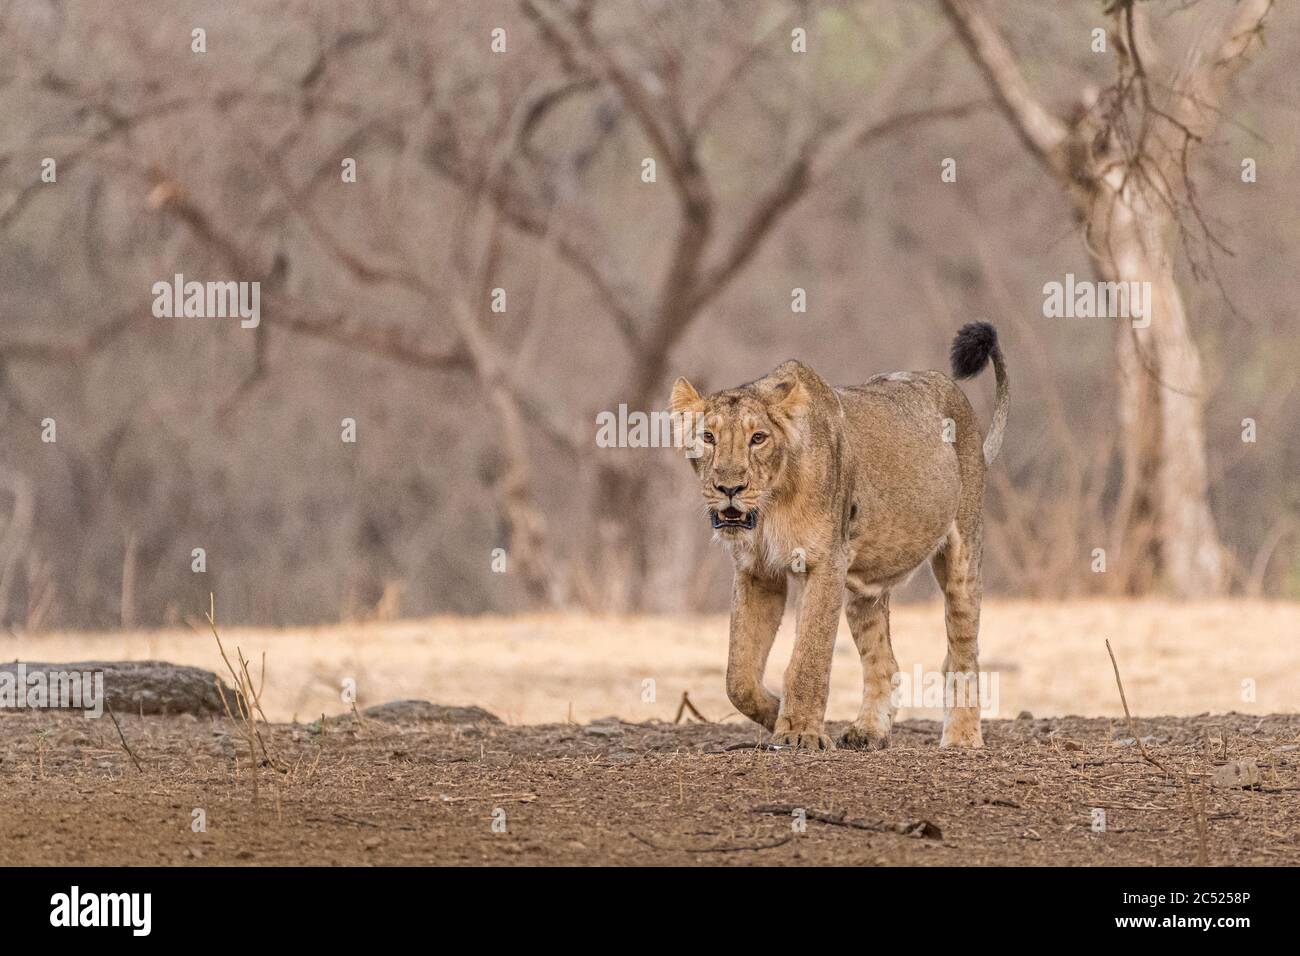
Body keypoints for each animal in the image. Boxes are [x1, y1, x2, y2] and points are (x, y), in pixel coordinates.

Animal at [669, 322, 1008, 750]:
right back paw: (868, 731)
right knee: (885, 662)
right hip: (865, 588)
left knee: (962, 652)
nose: (729, 488)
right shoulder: (757, 572)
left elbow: (808, 657)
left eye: (758, 438)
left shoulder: (825, 561)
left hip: (963, 552)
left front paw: (799, 732)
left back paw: (962, 737)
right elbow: (738, 676)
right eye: (708, 438)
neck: (770, 503)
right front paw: (775, 712)